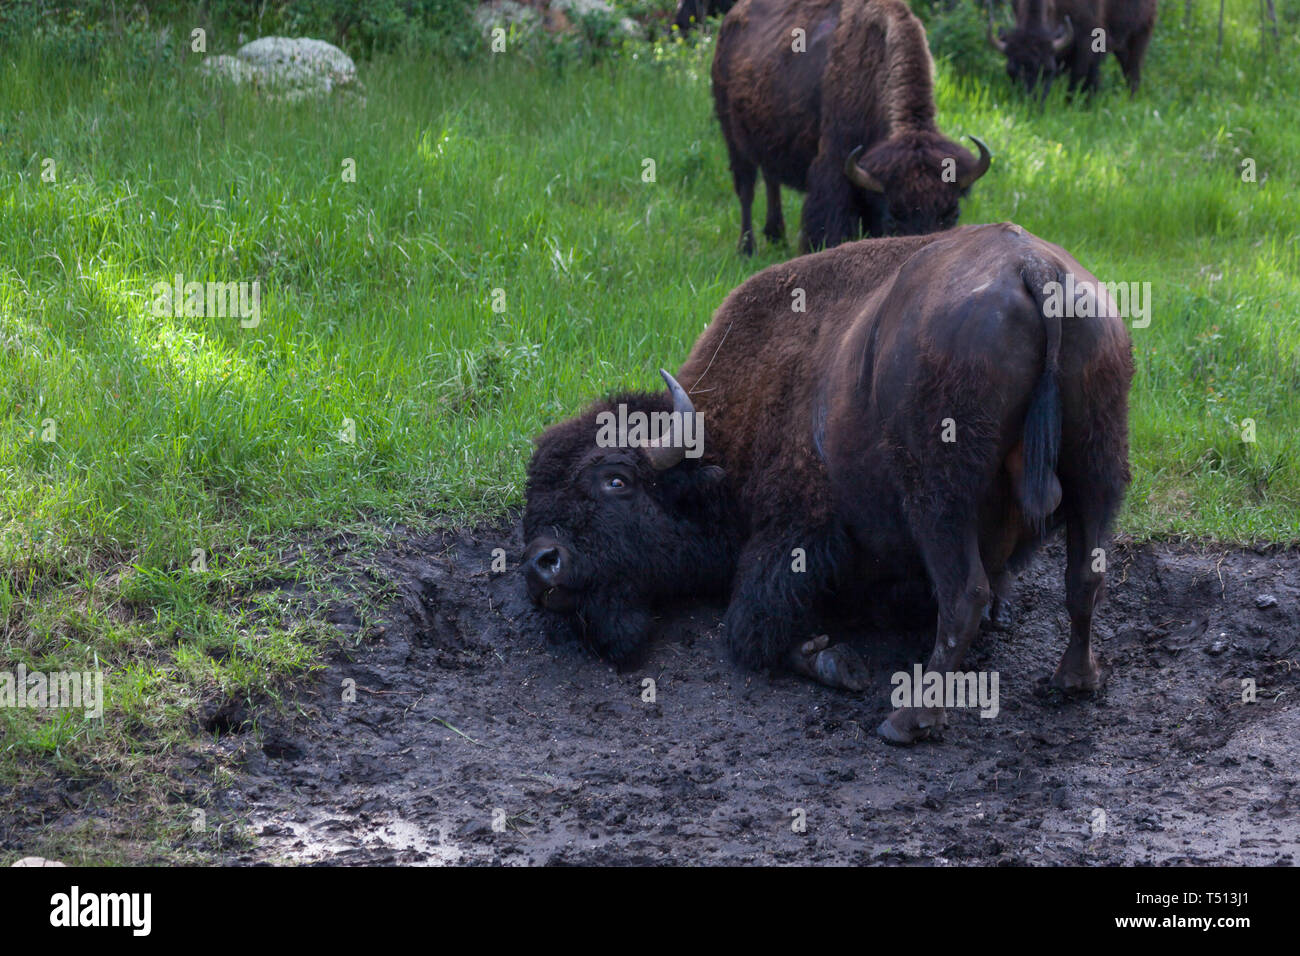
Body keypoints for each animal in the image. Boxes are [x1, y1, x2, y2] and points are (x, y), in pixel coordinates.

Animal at [523, 223, 1133, 744]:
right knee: (1084, 576)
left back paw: (908, 720)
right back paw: (1075, 680)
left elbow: (748, 630)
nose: (540, 564)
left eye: (616, 480)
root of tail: (1032, 266)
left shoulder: (795, 533)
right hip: (1098, 467)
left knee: (965, 596)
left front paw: (831, 659)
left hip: (940, 499)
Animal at [712, 0, 992, 254]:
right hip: (732, 138)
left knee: (771, 181)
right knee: (746, 189)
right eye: (893, 218)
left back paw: (776, 237)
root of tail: (730, 20)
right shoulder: (837, 168)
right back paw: (747, 248)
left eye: (952, 214)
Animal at [989, 0, 1158, 97]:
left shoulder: (1086, 39)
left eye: (1048, 71)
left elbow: (1078, 74)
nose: (1031, 102)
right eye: (1011, 71)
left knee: (1133, 73)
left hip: (1139, 35)